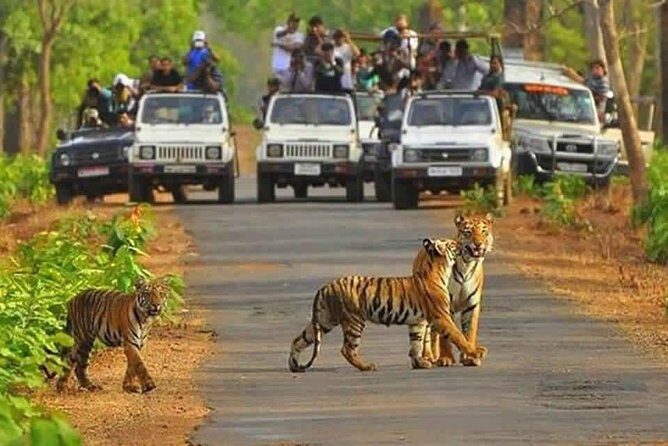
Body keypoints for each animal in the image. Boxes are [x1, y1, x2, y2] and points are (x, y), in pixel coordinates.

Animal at [288, 238, 488, 372]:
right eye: (452, 244)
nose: (463, 244)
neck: (439, 270)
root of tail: (325, 287)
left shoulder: (417, 322)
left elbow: (415, 344)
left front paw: (420, 363)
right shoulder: (441, 316)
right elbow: (458, 336)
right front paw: (476, 352)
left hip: (324, 320)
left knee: (298, 339)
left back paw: (294, 365)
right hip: (354, 320)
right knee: (347, 349)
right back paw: (367, 366)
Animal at [421, 213, 494, 367]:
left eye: (484, 232)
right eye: (468, 232)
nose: (478, 243)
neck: (467, 264)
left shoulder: (472, 305)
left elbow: (469, 332)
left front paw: (470, 357)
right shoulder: (444, 305)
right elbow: (445, 336)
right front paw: (446, 358)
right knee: (428, 333)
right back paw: (429, 357)